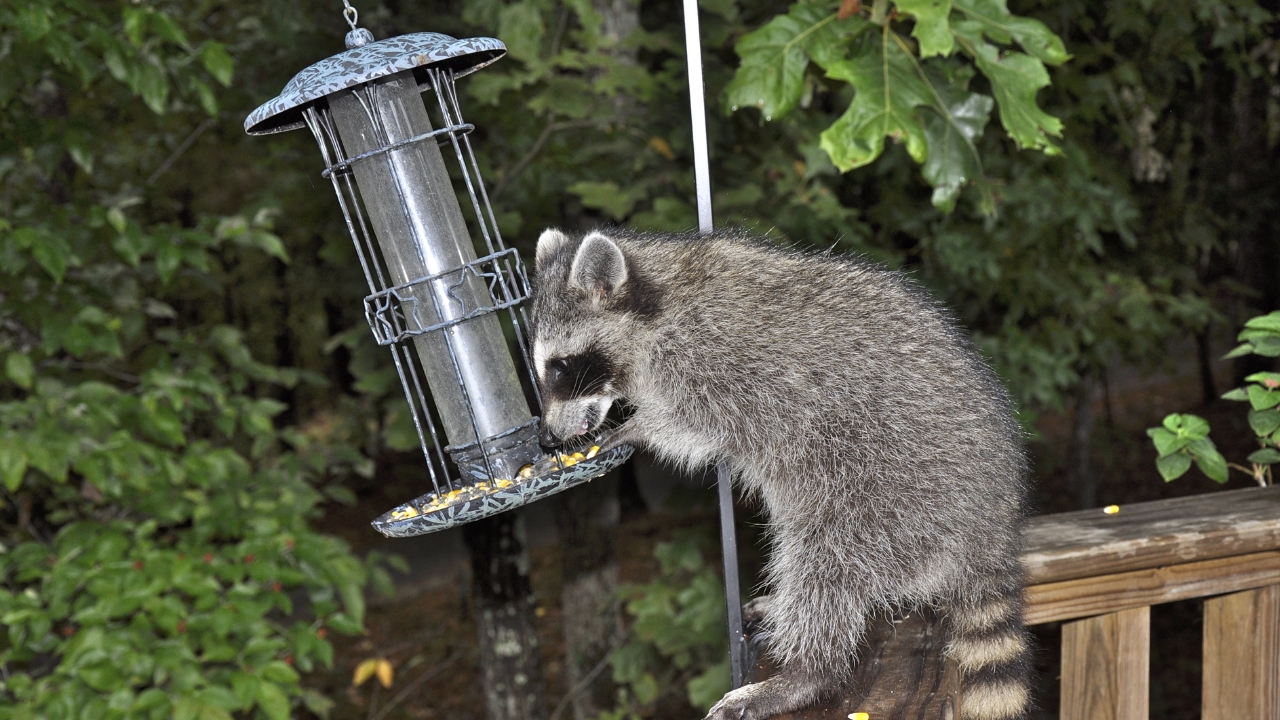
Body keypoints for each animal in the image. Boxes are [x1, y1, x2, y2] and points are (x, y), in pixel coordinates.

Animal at [529, 227, 1032, 720]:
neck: (657, 307)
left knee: (829, 561)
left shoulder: (724, 365)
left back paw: (808, 672)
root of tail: (993, 521)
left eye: (560, 366)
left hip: (896, 490)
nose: (547, 438)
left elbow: (699, 425)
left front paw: (636, 430)